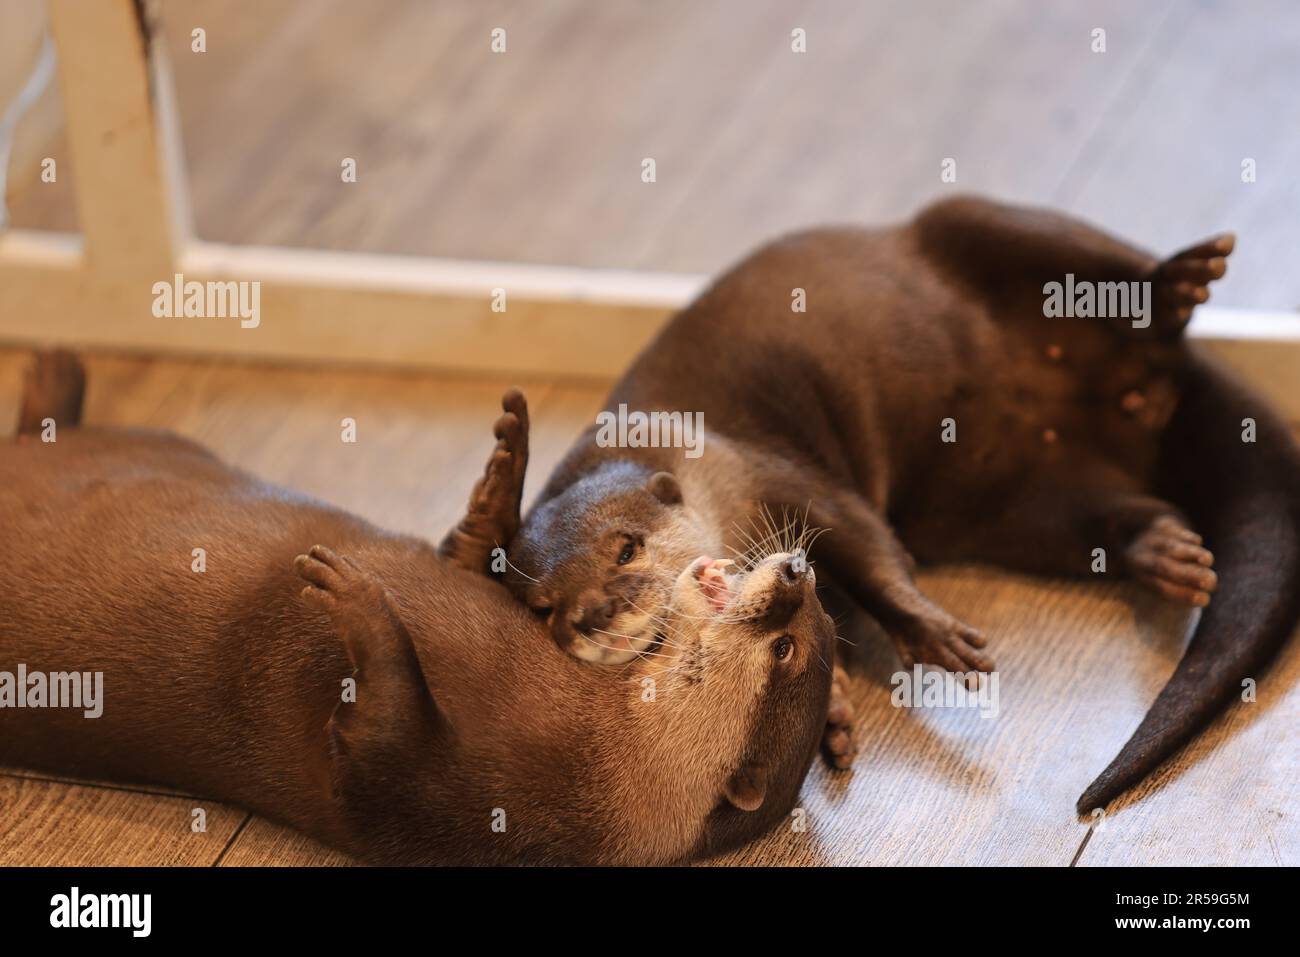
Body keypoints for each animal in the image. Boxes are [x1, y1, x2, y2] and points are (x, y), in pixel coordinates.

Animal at [0, 352, 835, 864]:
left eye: (788, 646)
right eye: (817, 617)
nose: (801, 570)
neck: (596, 745)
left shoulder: (451, 801)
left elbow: (382, 733)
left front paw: (358, 598)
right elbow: (465, 553)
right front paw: (505, 467)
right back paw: (54, 373)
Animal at [472, 195, 1300, 811]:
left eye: (625, 547)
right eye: (542, 607)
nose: (590, 616)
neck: (686, 447)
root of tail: (1142, 389)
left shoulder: (783, 473)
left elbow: (868, 551)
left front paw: (935, 637)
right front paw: (833, 710)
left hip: (978, 223)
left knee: (1095, 270)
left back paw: (1178, 278)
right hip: (1011, 499)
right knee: (1095, 515)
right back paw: (1165, 552)